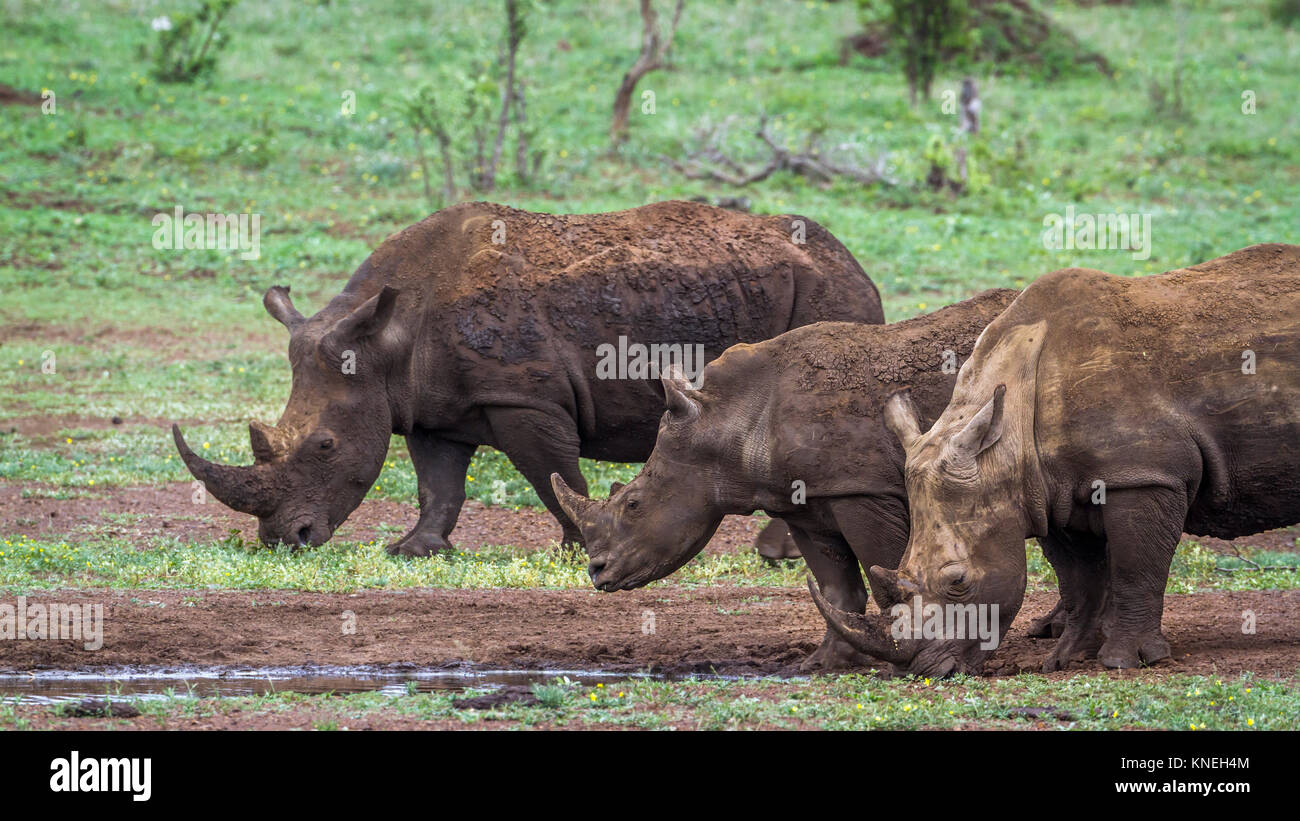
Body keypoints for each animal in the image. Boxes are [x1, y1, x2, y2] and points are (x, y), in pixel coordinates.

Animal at [172, 200, 884, 554]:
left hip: (824, 294)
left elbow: (552, 476)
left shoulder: (522, 396)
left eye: (324, 446)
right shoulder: (430, 404)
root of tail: (856, 262)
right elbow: (438, 484)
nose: (284, 542)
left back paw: (777, 555)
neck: (387, 336)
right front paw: (415, 550)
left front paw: (578, 546)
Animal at [550, 288, 1019, 670]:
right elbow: (837, 588)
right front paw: (823, 664)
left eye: (634, 504)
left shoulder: (862, 489)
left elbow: (887, 568)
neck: (728, 421)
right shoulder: (803, 499)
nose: (596, 572)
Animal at [811, 244, 1300, 676]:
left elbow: (1134, 568)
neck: (1006, 439)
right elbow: (1080, 579)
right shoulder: (1050, 490)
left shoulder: (1143, 475)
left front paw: (1124, 662)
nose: (921, 671)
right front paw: (1066, 659)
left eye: (958, 582)